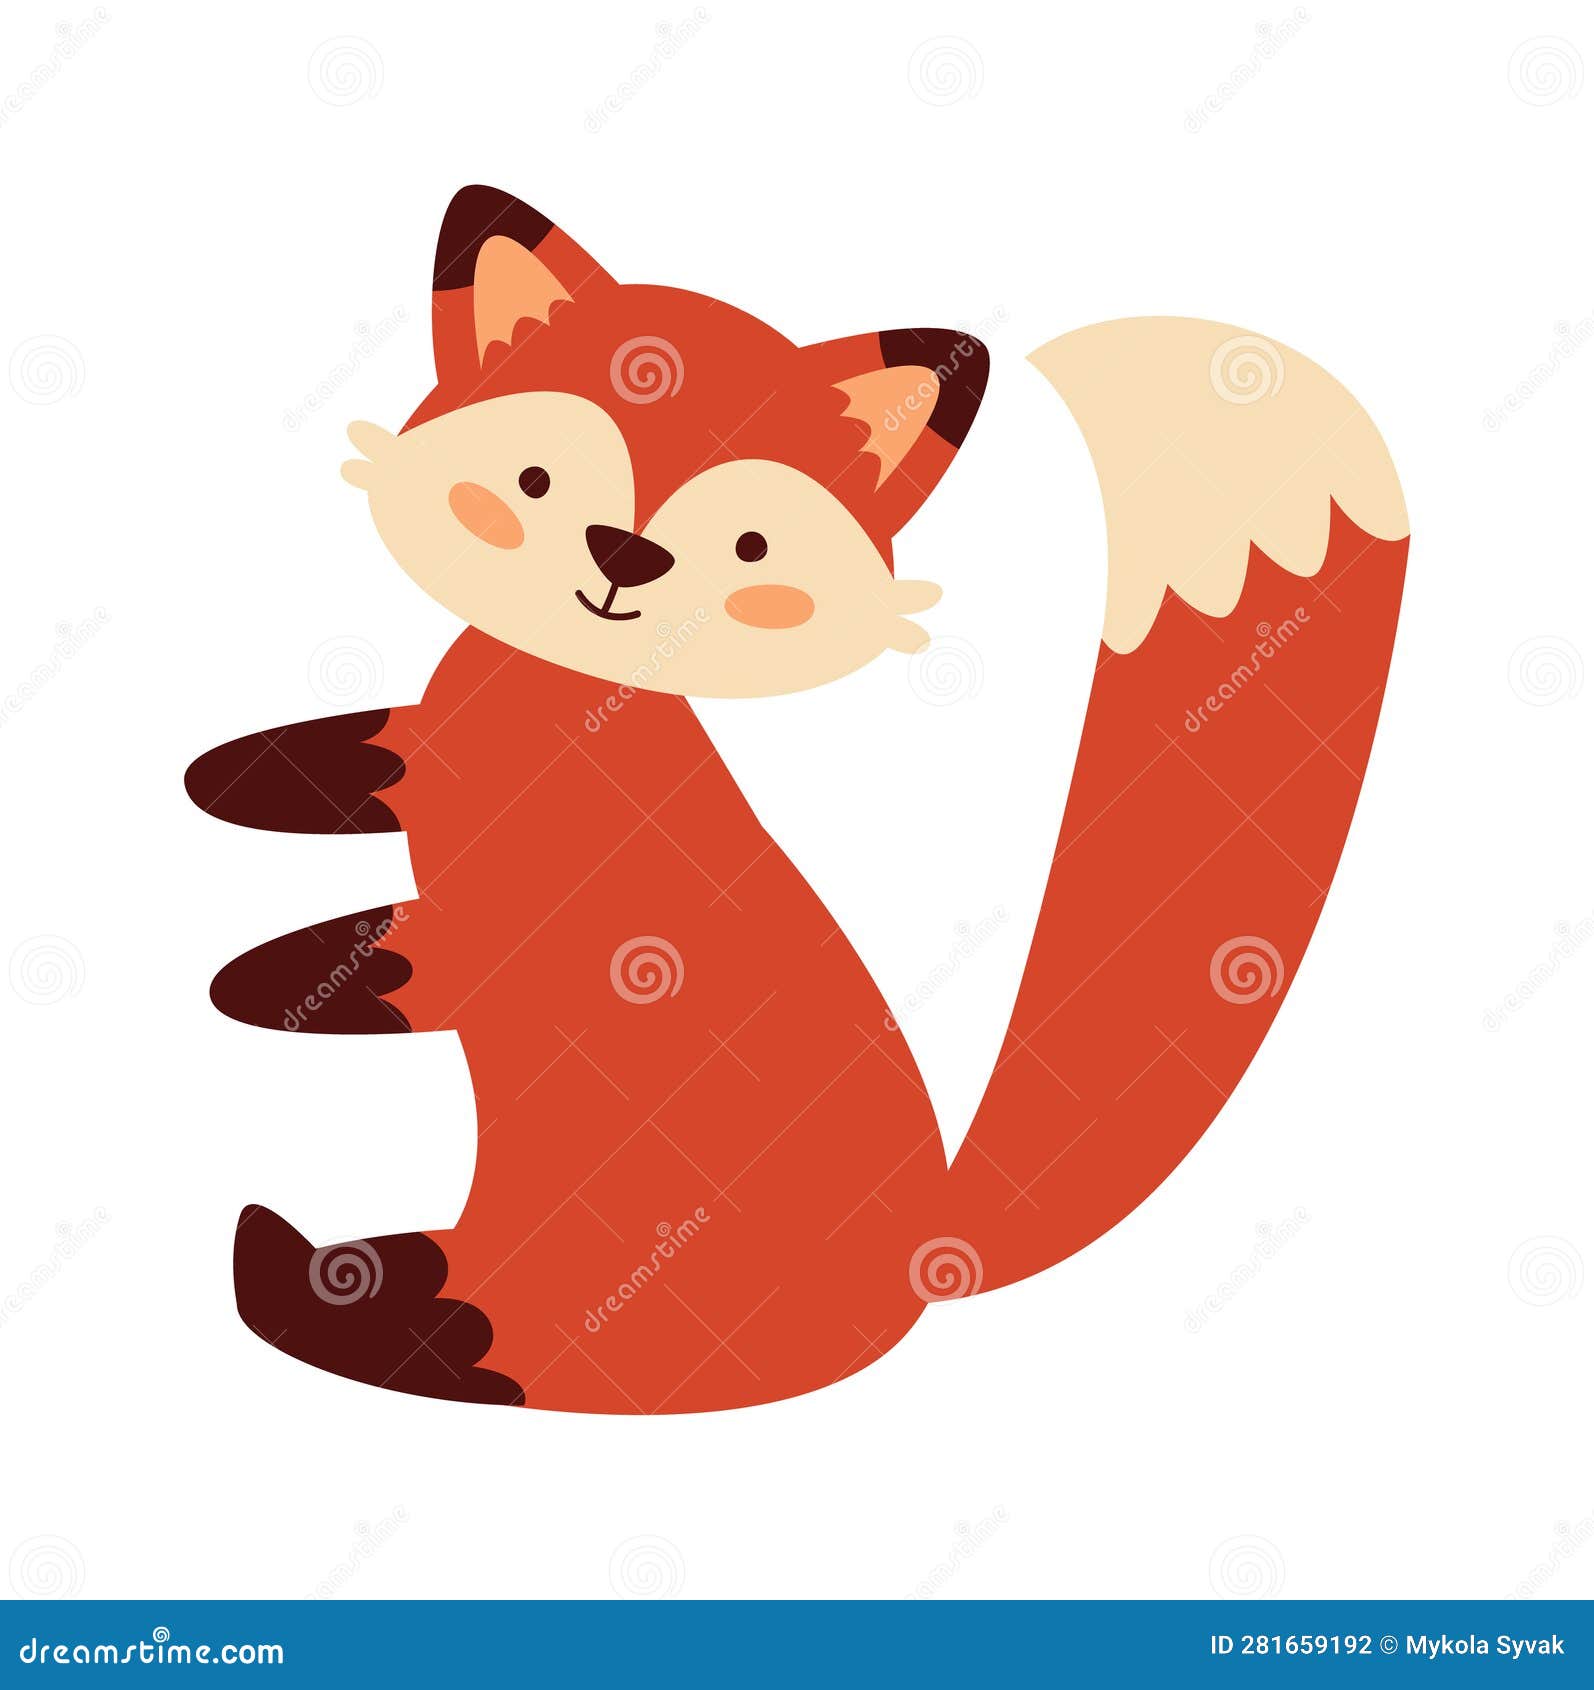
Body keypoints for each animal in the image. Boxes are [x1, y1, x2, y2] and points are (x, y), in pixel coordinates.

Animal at [186, 185, 1408, 1412]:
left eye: (750, 543)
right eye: (537, 481)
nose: (623, 553)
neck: (555, 718)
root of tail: (927, 1251)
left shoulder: (490, 941)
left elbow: (366, 955)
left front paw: (253, 985)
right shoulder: (410, 754)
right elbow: (330, 764)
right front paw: (224, 780)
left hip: (566, 1295)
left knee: (462, 1332)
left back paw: (298, 1276)